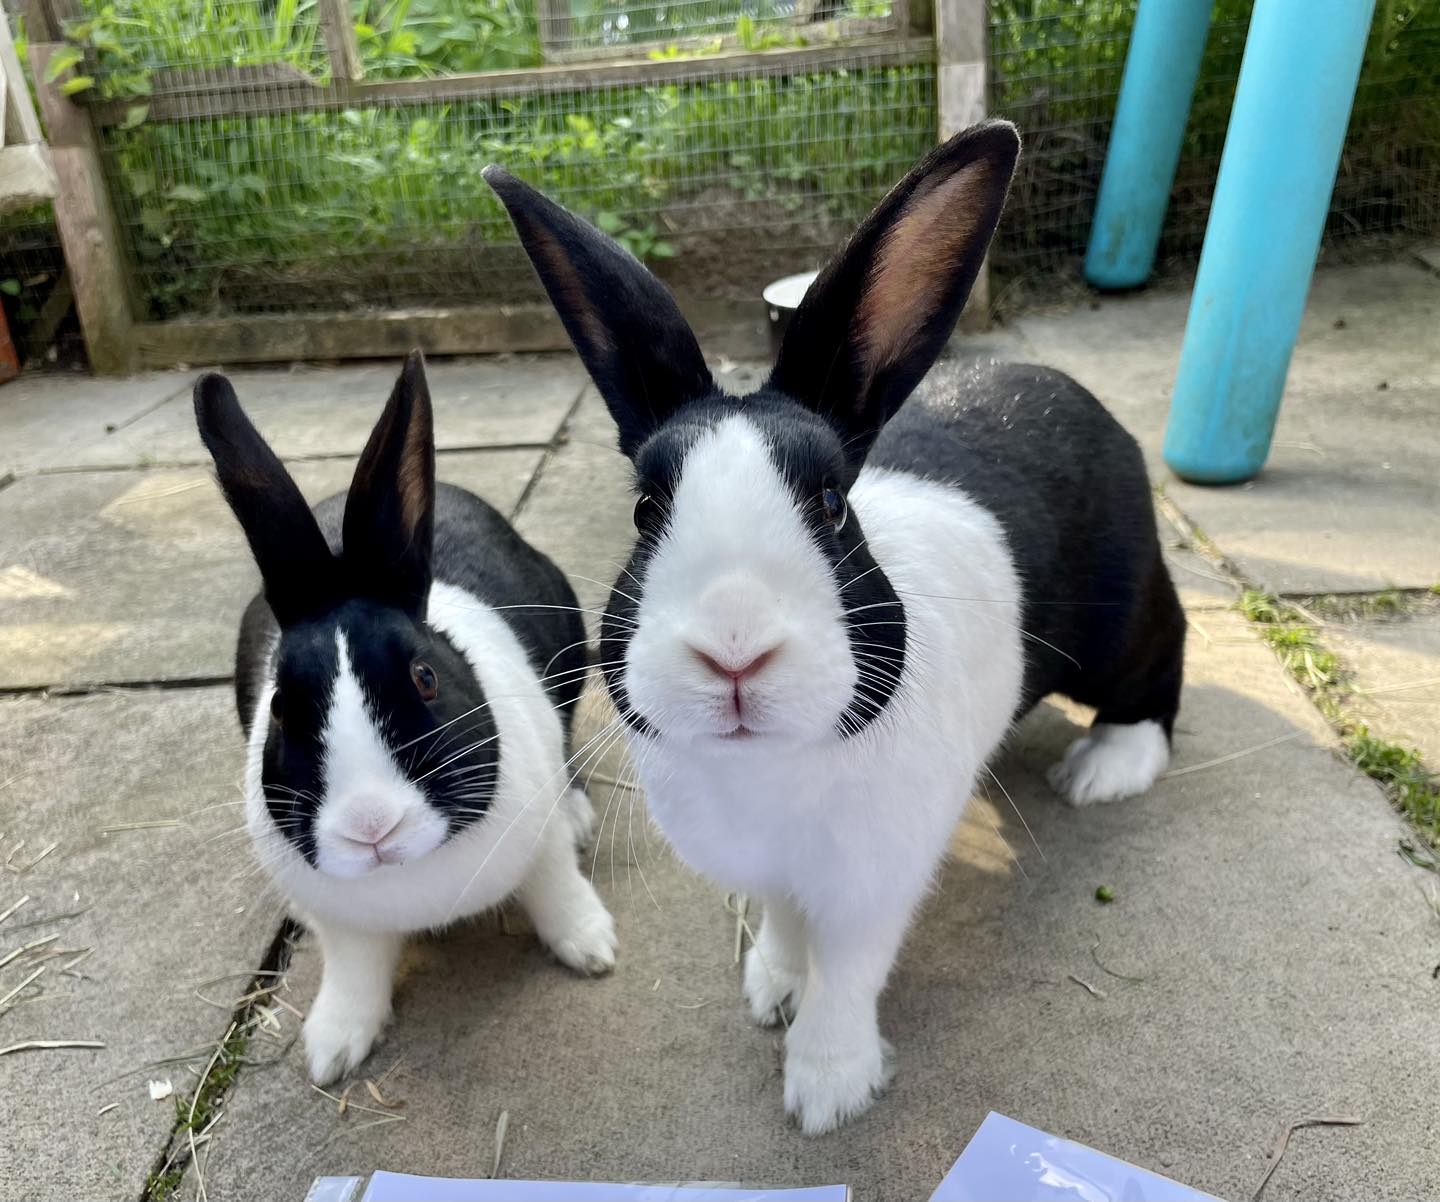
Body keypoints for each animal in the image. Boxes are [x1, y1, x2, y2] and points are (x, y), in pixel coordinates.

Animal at [195, 351, 617, 1086]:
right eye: (280, 704)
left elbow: (555, 887)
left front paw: (591, 948)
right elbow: (354, 972)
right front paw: (332, 1050)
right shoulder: (344, 927)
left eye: (424, 677)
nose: (371, 826)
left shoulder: (539, 850)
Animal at [484, 119, 1184, 1134]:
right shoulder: (771, 874)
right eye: (647, 511)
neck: (767, 768)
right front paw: (771, 987)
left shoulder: (873, 881)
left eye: (830, 505)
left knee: (1161, 667)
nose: (734, 652)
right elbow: (784, 926)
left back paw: (1104, 770)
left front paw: (826, 1086)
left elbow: (849, 974)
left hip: (1121, 626)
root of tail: (1078, 395)